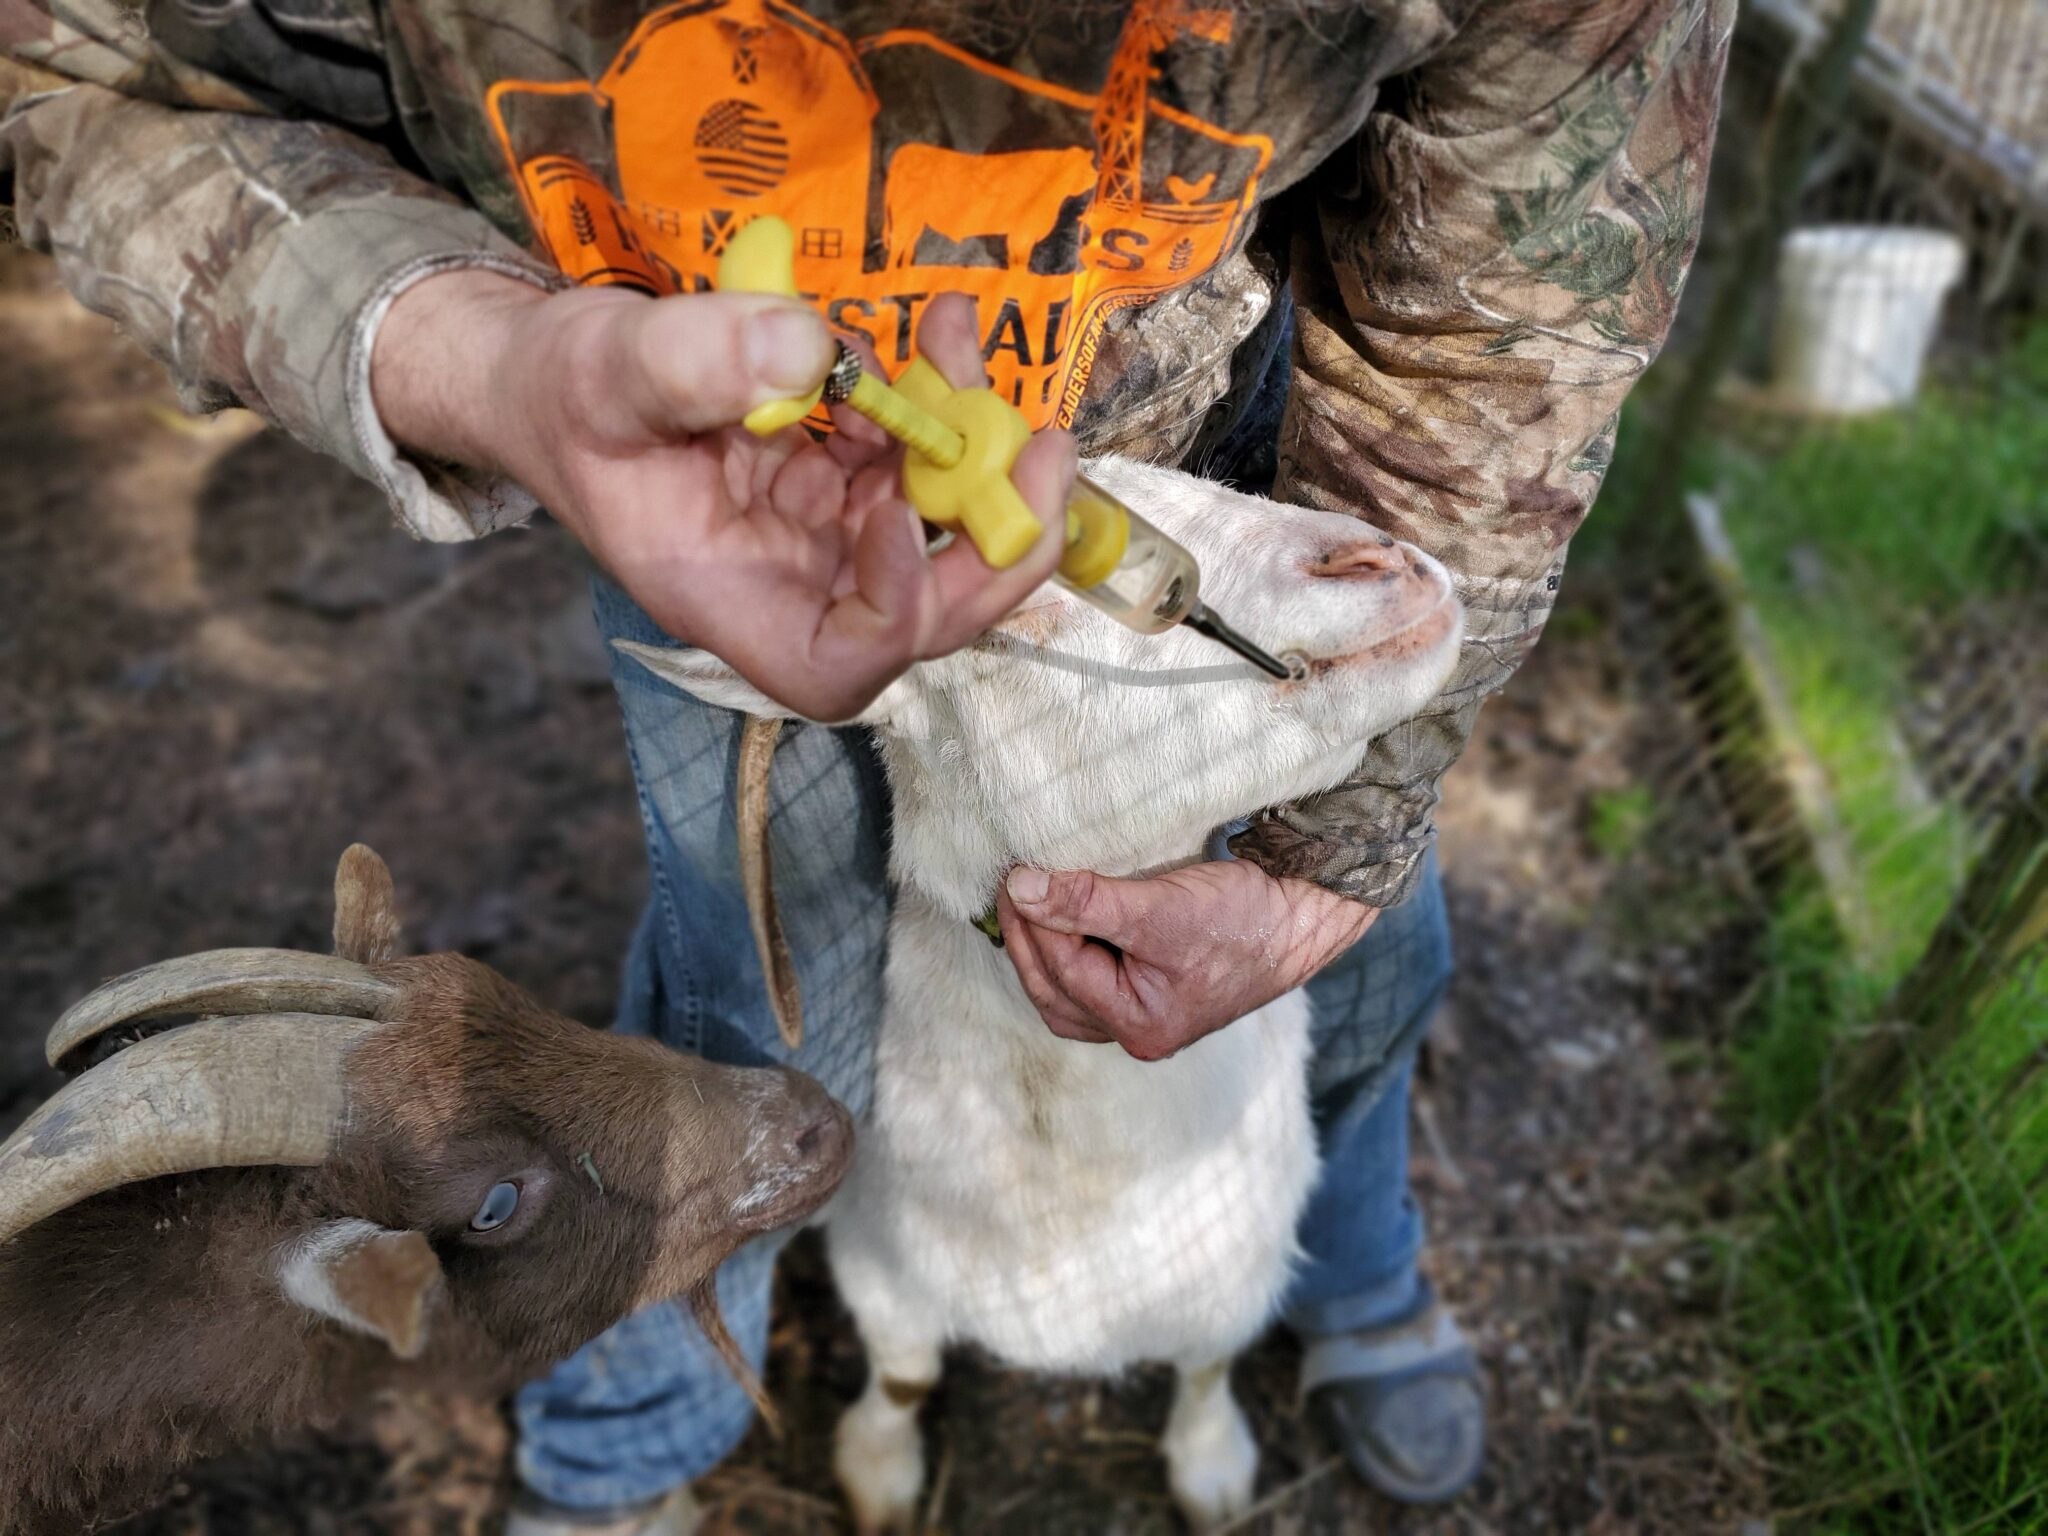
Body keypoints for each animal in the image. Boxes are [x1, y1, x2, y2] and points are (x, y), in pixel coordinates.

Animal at [621, 455, 1465, 1532]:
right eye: (1010, 615)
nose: (1378, 562)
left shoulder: (1234, 1270)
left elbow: (1206, 1369)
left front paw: (1212, 1473)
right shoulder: (881, 1263)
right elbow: (903, 1376)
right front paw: (879, 1474)